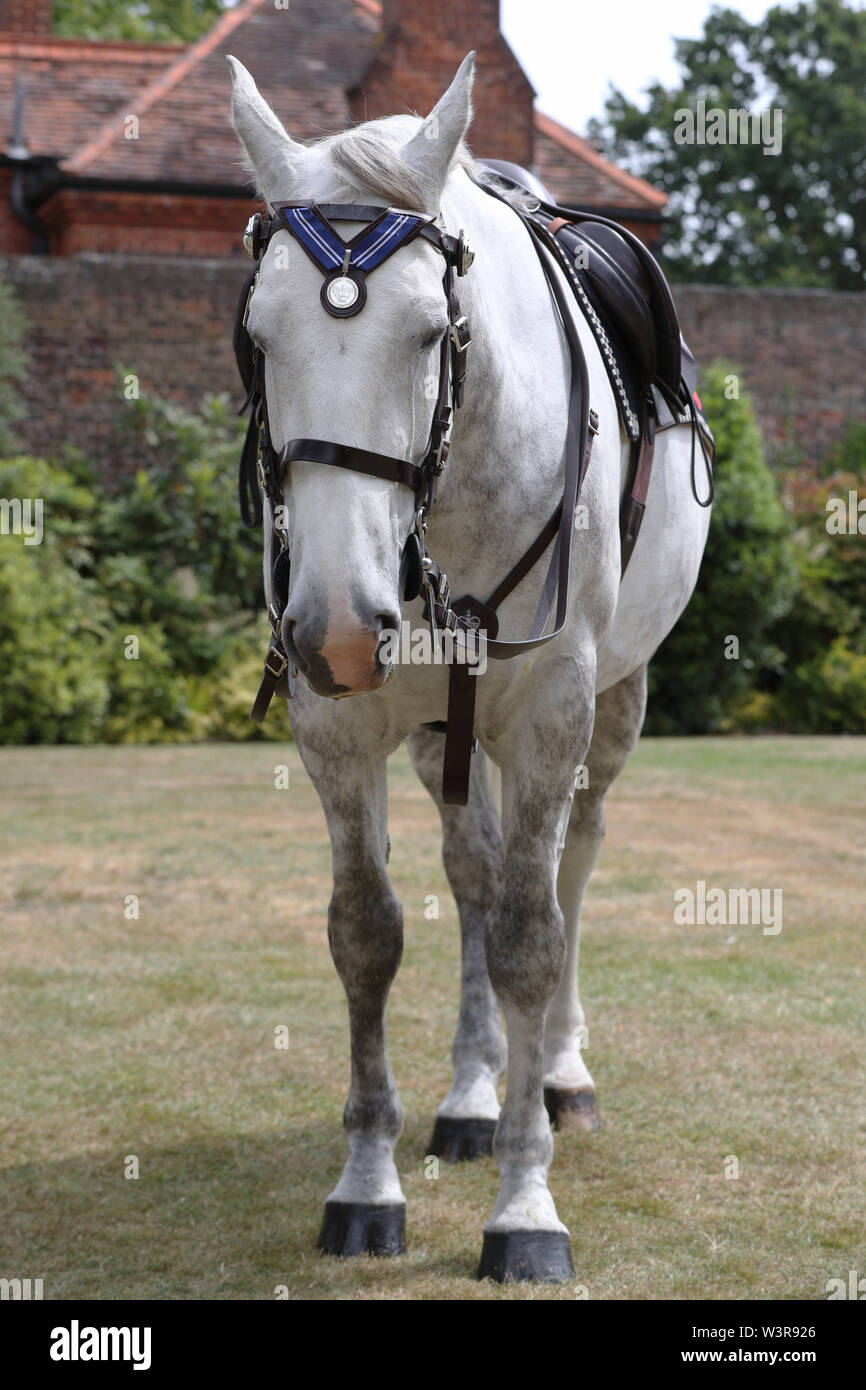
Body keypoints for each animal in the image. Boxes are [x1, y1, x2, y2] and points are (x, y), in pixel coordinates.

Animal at [227, 51, 711, 1283]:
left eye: (430, 332)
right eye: (258, 335)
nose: (338, 623)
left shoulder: (549, 708)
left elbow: (533, 940)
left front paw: (526, 1208)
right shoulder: (336, 727)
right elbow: (370, 933)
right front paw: (367, 1183)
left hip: (612, 700)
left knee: (569, 867)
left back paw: (559, 1077)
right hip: (446, 726)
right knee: (477, 876)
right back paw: (473, 1094)